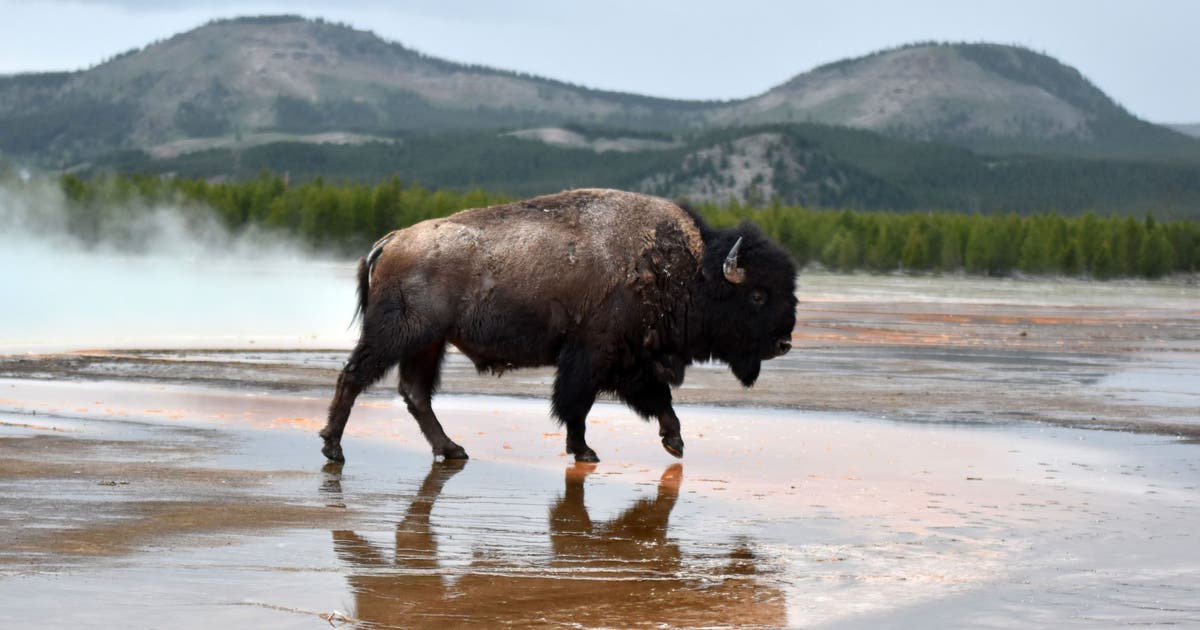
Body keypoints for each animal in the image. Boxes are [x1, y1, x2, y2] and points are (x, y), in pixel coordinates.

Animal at [320, 189, 797, 463]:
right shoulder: (594, 355)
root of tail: (391, 240)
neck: (686, 268)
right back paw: (333, 449)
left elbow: (656, 399)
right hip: (399, 335)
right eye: (758, 295)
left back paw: (452, 450)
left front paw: (674, 442)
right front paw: (585, 452)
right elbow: (577, 404)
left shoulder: (632, 360)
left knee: (416, 393)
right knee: (355, 377)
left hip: (430, 343)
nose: (784, 341)